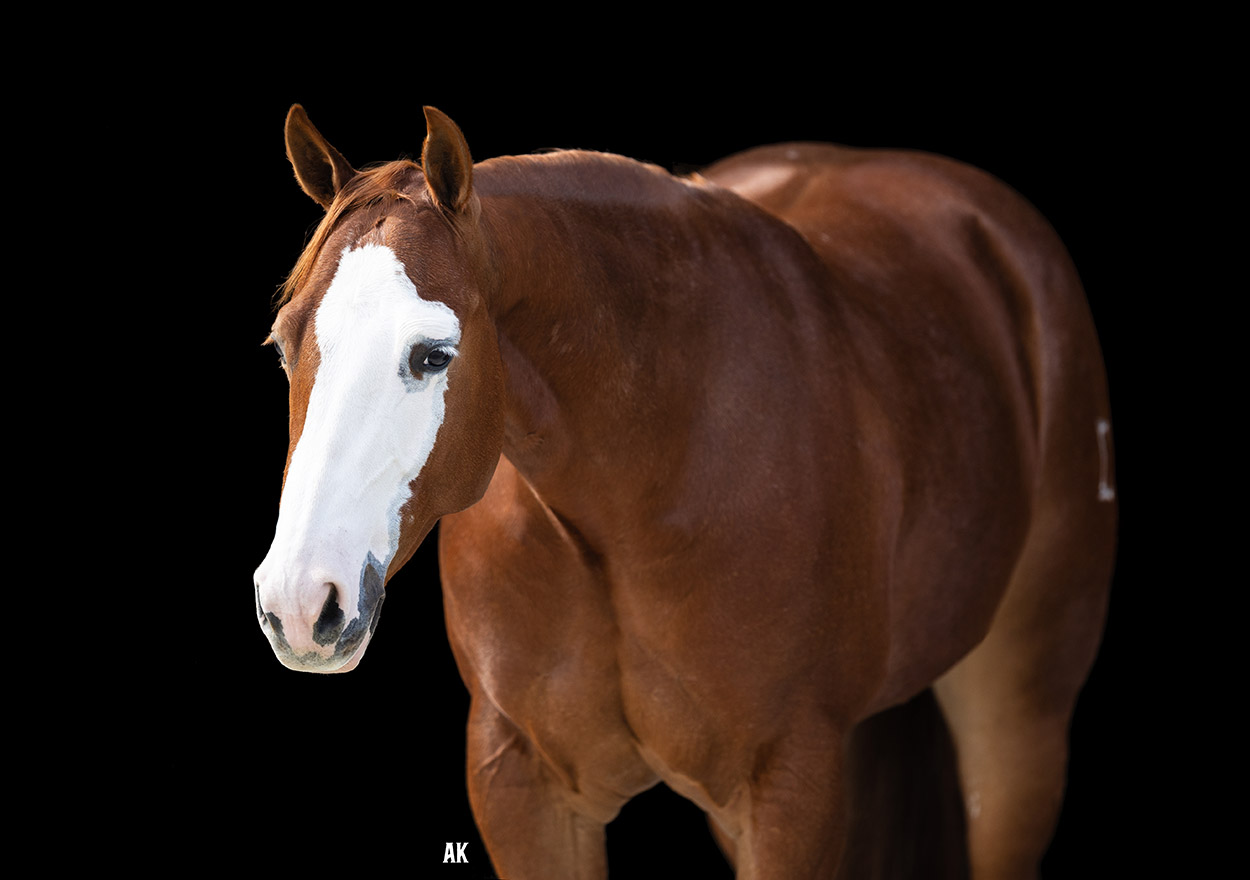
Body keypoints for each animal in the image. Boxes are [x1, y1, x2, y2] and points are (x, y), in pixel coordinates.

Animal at [254, 104, 1116, 879]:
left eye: (431, 355)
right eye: (285, 345)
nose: (299, 603)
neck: (637, 486)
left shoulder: (792, 787)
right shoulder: (523, 786)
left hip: (1019, 724)